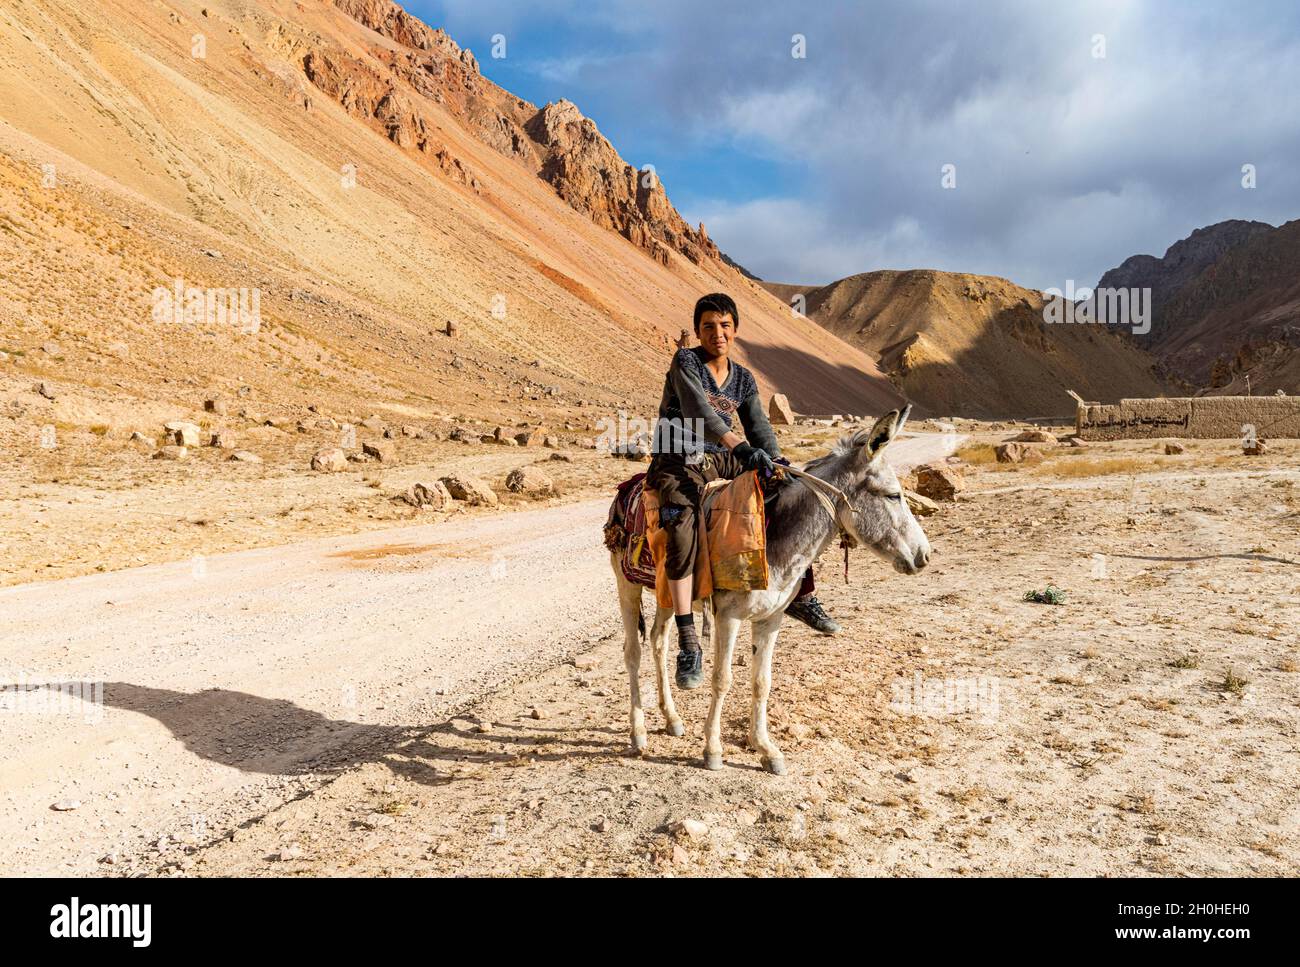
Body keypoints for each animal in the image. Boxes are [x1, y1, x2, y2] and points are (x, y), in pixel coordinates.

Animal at [608, 406, 931, 773]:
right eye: (893, 495)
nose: (924, 555)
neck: (772, 534)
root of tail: (630, 488)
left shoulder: (770, 618)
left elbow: (761, 682)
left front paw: (765, 748)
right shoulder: (729, 617)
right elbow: (722, 679)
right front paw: (713, 749)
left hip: (665, 589)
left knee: (659, 642)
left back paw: (672, 718)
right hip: (628, 585)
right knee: (632, 653)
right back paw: (638, 733)